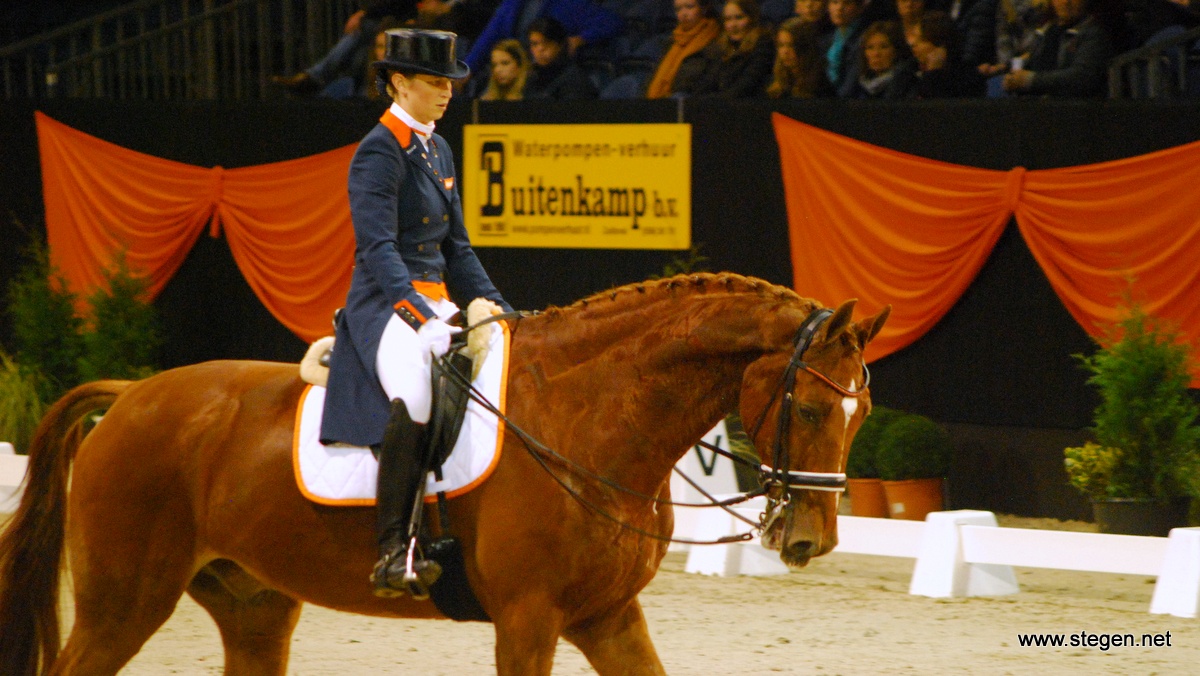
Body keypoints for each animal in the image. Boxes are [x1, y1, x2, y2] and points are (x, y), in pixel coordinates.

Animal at [0, 272, 889, 676]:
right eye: (814, 409)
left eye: (862, 413)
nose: (811, 540)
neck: (592, 418)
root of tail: (131, 394)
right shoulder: (528, 621)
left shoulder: (608, 616)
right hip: (124, 602)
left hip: (254, 606)